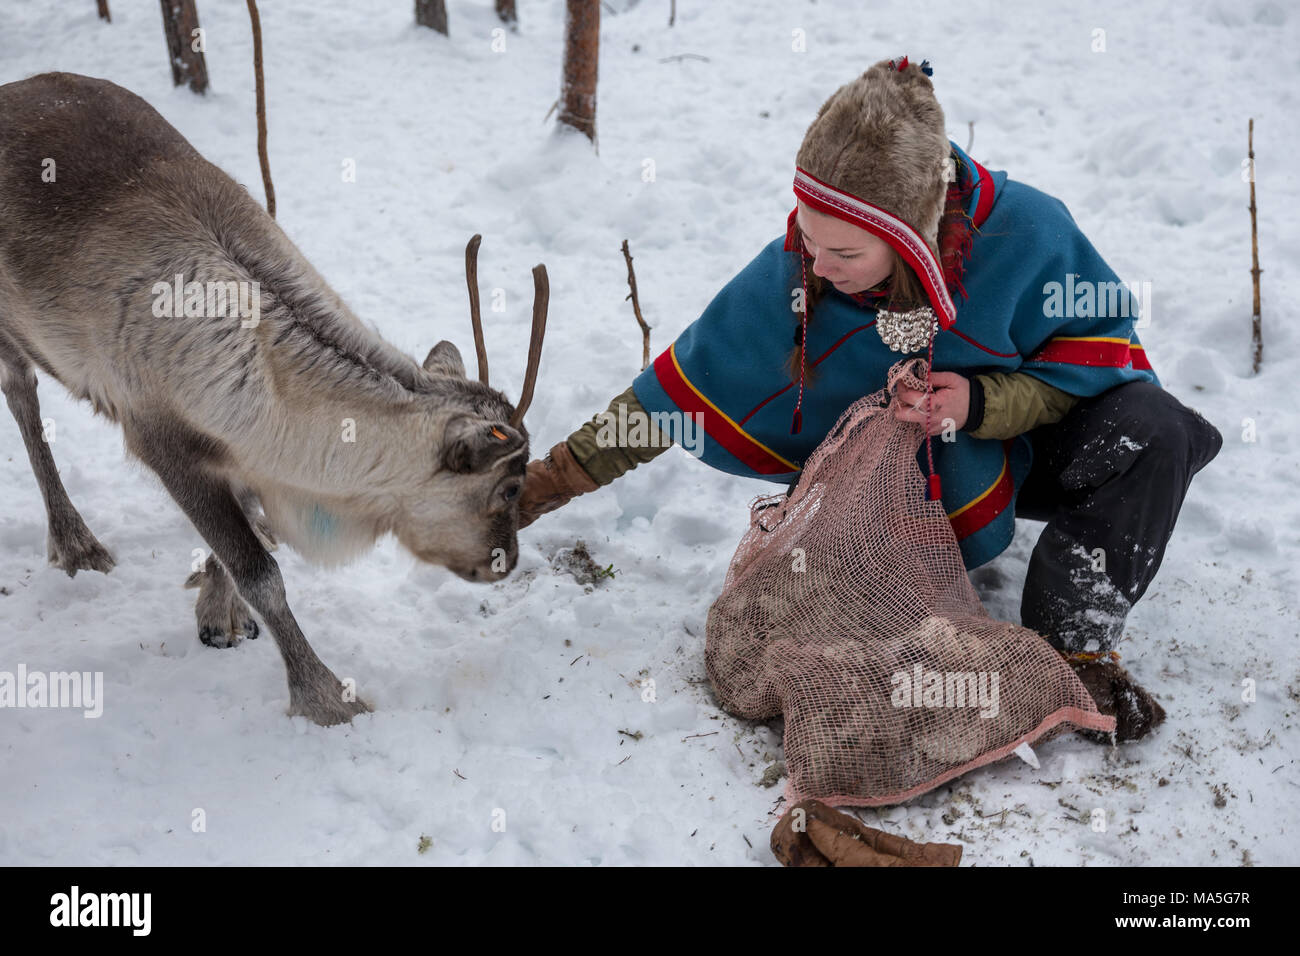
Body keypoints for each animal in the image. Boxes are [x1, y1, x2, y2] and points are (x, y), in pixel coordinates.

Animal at [0, 72, 546, 726]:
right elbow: (262, 575)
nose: (505, 563)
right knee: (22, 392)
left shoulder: (244, 450)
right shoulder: (164, 444)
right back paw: (75, 543)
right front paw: (324, 696)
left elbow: (245, 539)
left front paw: (219, 610)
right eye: (509, 487)